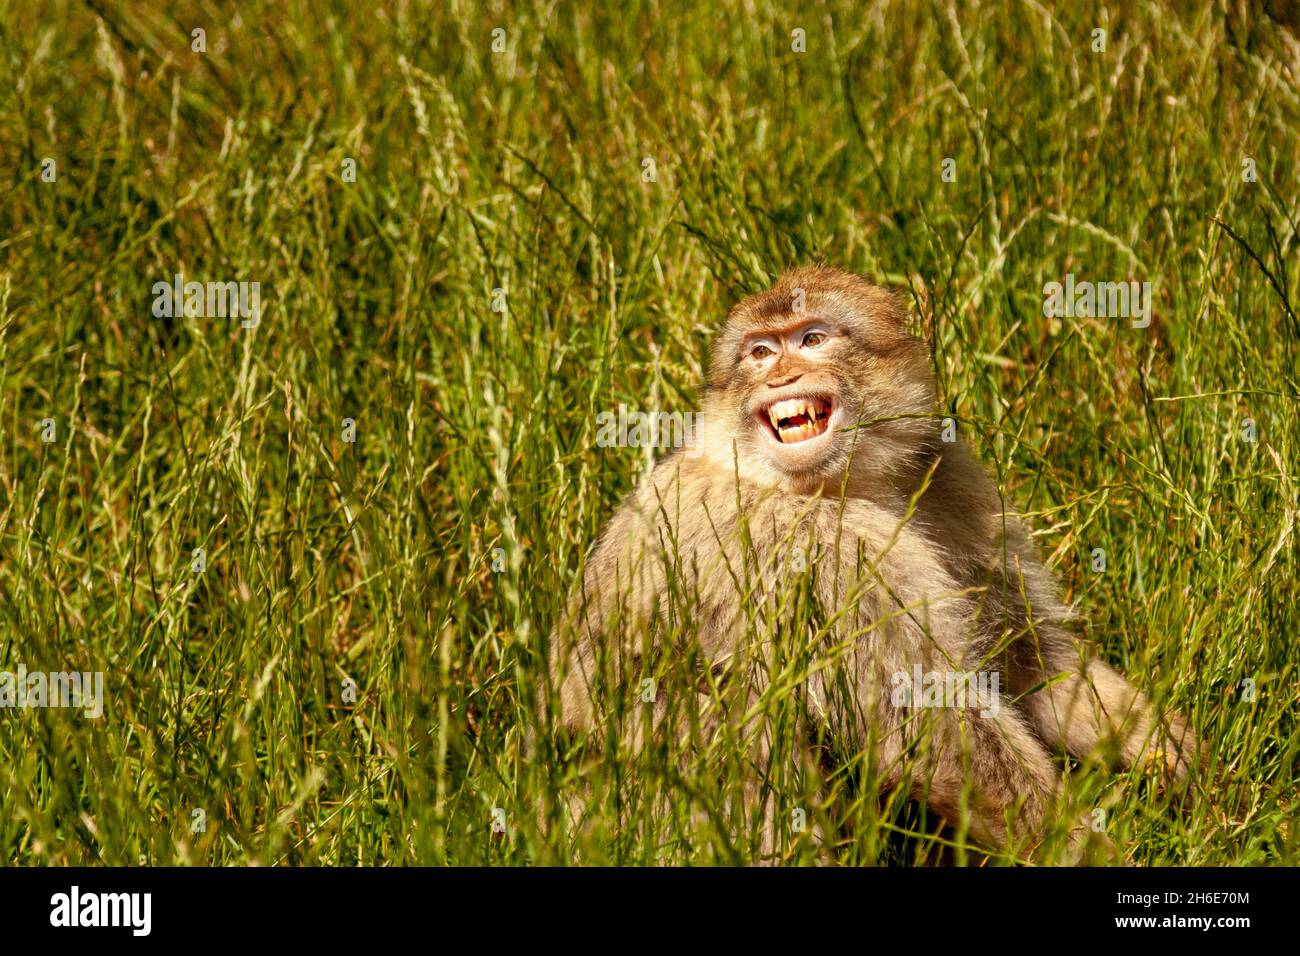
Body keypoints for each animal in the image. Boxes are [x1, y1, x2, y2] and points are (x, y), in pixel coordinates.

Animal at [544, 265, 1199, 861]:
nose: (782, 374)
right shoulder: (828, 554)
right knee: (719, 705)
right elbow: (933, 726)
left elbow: (1035, 665)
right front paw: (1085, 848)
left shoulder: (951, 480)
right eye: (760, 352)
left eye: (812, 338)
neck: (842, 484)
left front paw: (1170, 757)